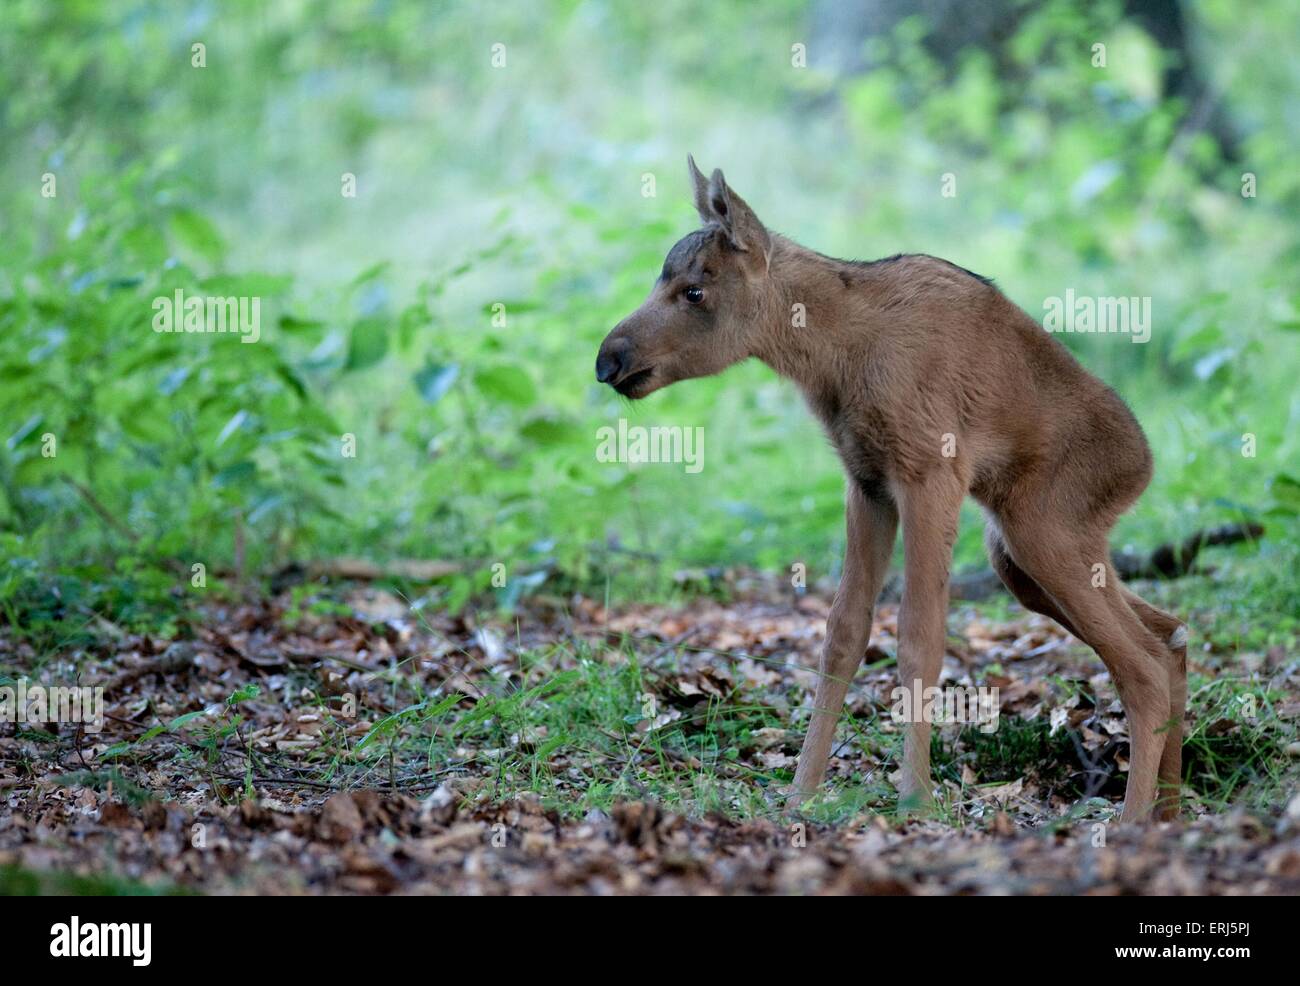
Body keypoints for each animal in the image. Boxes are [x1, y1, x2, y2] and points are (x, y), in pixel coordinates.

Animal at [595, 157, 1188, 823]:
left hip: (1044, 531)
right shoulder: (868, 483)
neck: (831, 359)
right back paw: (1169, 808)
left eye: (694, 290)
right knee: (1171, 635)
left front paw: (916, 798)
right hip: (1021, 556)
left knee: (1143, 665)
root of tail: (1144, 467)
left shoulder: (930, 474)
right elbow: (843, 634)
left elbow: (919, 638)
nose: (608, 359)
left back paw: (1132, 819)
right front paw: (801, 792)